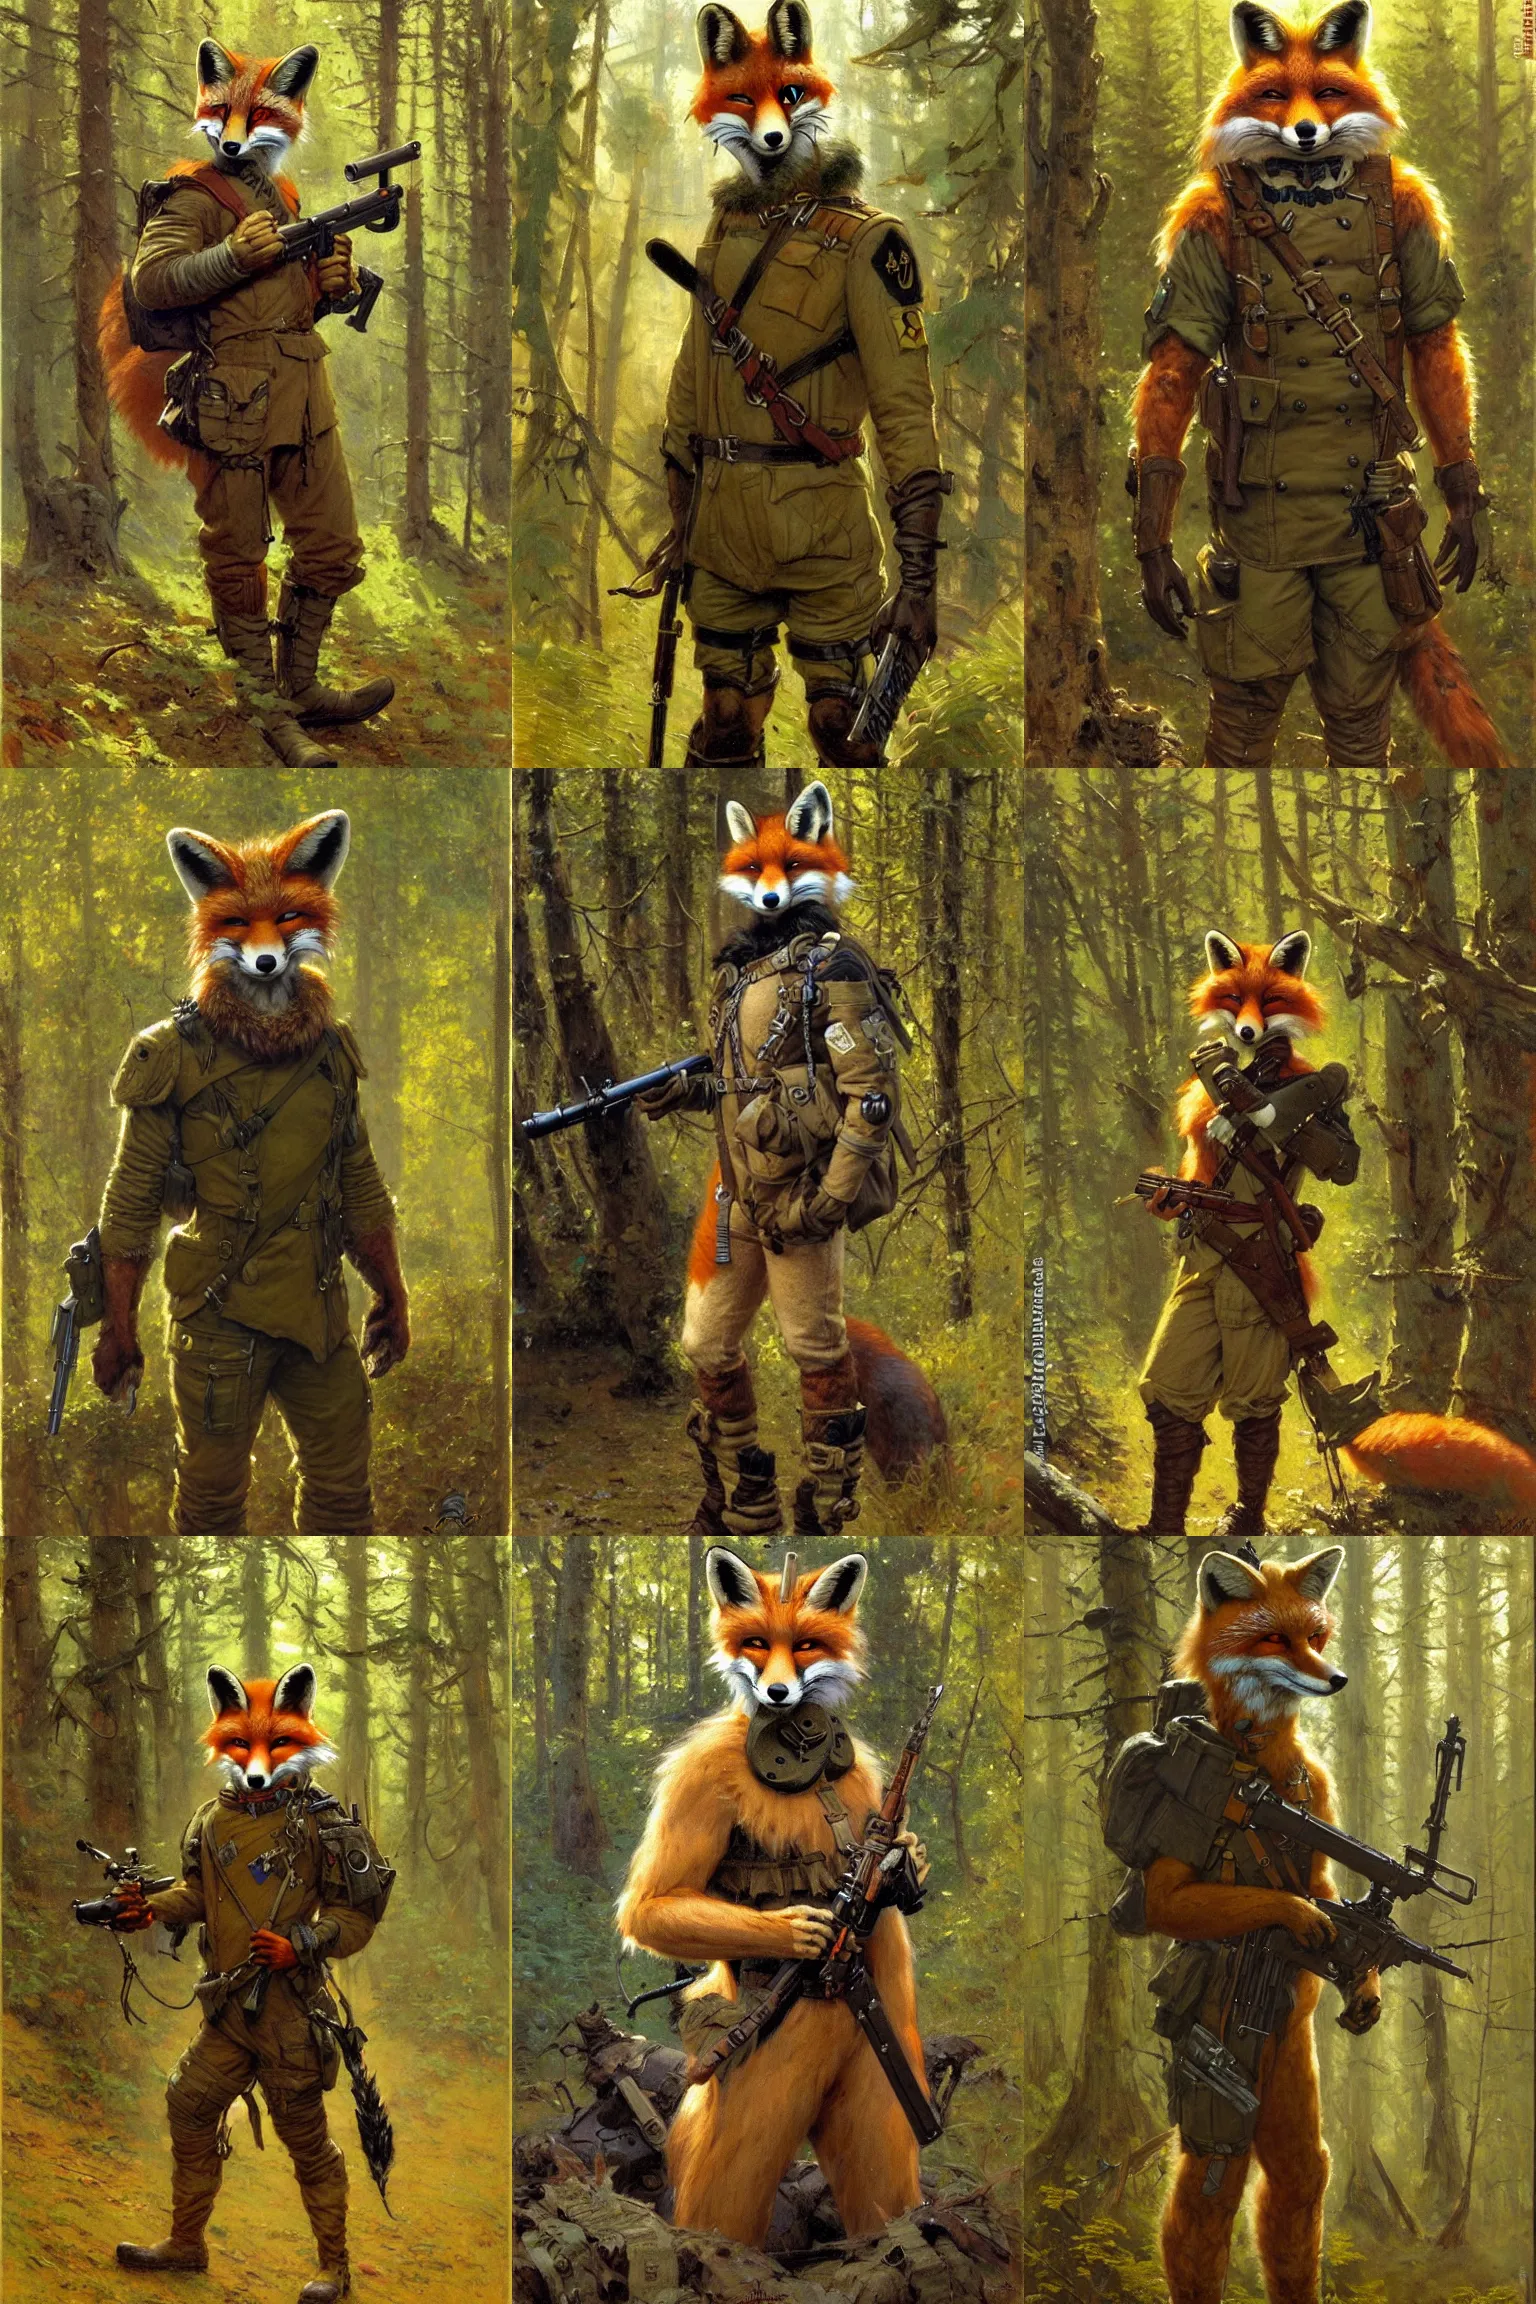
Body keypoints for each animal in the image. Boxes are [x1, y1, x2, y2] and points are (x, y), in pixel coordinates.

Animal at [99, 42, 318, 467]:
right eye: (221, 110)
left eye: (259, 114)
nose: (231, 146)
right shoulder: (187, 199)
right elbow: (153, 273)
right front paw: (248, 247)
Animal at [616, 1548, 930, 2246]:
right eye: (756, 1643)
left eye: (808, 1644)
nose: (781, 1696)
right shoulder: (696, 1776)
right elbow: (649, 1907)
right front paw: (804, 1930)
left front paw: (909, 1859)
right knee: (724, 2199)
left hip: (874, 2078)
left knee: (883, 2182)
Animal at [1134, 1, 1505, 773]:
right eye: (1275, 95)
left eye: (1329, 93)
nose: (1306, 132)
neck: (1304, 190)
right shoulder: (1198, 229)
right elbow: (1177, 359)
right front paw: (1154, 561)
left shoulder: (1413, 210)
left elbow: (1431, 336)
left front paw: (1464, 506)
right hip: (1251, 596)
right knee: (1250, 695)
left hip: (1371, 585)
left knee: (1357, 698)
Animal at [1147, 1546, 1365, 2304]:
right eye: (1273, 1638)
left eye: (1318, 1635)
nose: (1338, 1678)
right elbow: (1170, 1898)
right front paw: (1300, 1919)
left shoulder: (1321, 1798)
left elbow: (1327, 1888)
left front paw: (1364, 1986)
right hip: (1224, 2089)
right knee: (1205, 2201)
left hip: (1288, 2077)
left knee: (1297, 2180)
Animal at [1162, 929, 1536, 1513]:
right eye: (1232, 997)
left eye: (1273, 999)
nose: (1245, 1033)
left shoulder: (1320, 1117)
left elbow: (1341, 1156)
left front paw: (1246, 1105)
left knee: (1254, 1403)